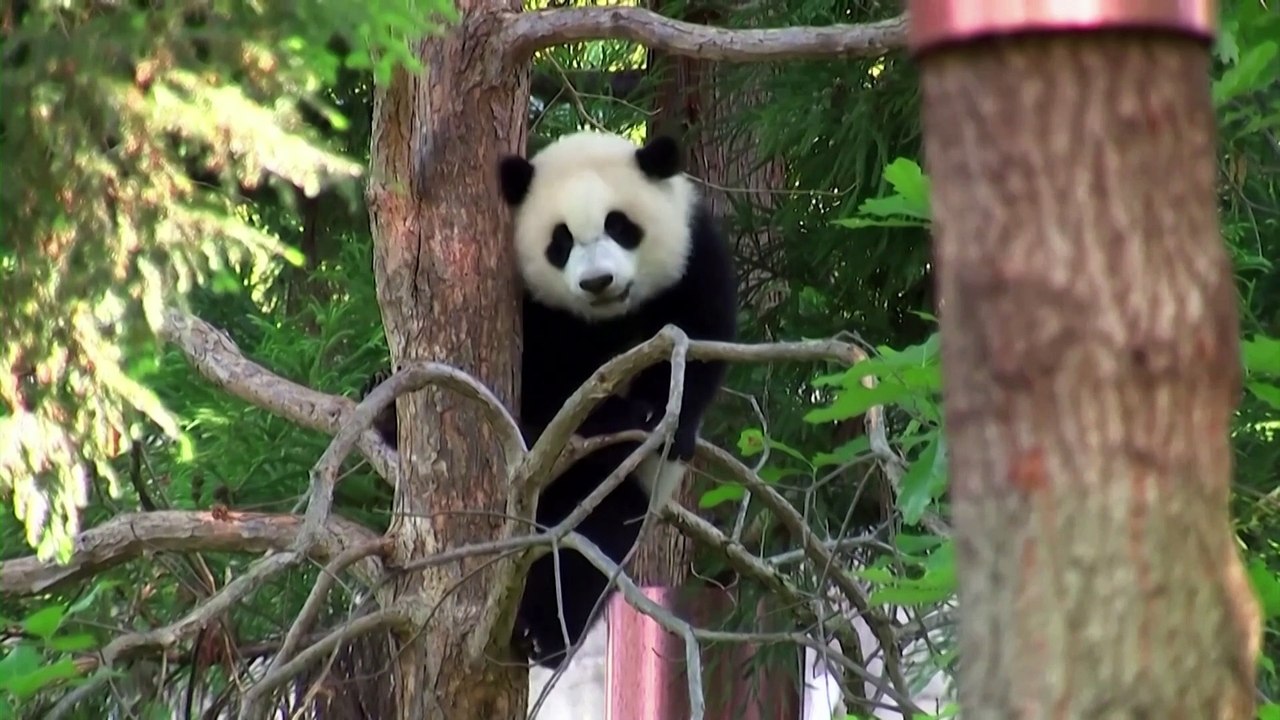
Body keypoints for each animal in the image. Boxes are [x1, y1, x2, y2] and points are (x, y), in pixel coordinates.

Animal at [361, 129, 738, 669]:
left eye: (619, 226)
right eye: (560, 242)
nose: (598, 282)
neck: (606, 321)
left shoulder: (694, 261)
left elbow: (701, 344)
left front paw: (654, 417)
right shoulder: (536, 311)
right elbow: (543, 378)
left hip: (622, 493)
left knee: (584, 550)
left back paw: (546, 634)